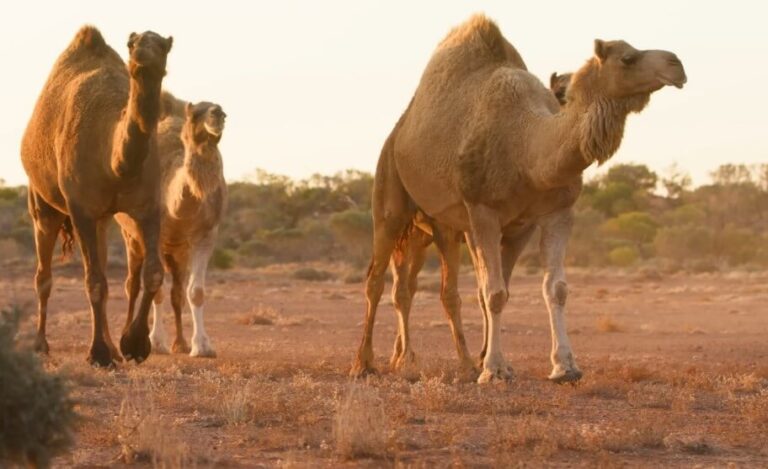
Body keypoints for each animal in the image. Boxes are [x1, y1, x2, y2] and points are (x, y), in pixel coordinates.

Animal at [21, 26, 173, 367]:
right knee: (44, 277)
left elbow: (153, 274)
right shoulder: (81, 210)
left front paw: (133, 344)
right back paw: (40, 345)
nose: (142, 56)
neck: (115, 162)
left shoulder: (148, 206)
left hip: (103, 219)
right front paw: (99, 354)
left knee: (100, 265)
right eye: (132, 43)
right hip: (42, 204)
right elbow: (94, 282)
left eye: (163, 45)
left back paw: (113, 348)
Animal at [116, 95, 227, 358]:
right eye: (195, 114)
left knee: (177, 291)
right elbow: (156, 290)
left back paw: (181, 343)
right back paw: (131, 336)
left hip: (177, 250)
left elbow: (195, 292)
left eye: (224, 113)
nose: (217, 114)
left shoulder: (205, 235)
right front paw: (155, 342)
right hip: (131, 236)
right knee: (132, 284)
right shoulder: (152, 236)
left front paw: (201, 346)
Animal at [352, 14, 686, 384]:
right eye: (628, 58)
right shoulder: (483, 210)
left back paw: (432, 360)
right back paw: (366, 363)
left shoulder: (544, 216)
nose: (677, 65)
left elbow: (548, 288)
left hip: (439, 227)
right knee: (378, 280)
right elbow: (494, 293)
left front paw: (563, 367)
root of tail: (398, 133)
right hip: (391, 198)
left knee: (419, 287)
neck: (527, 147)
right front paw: (495, 369)